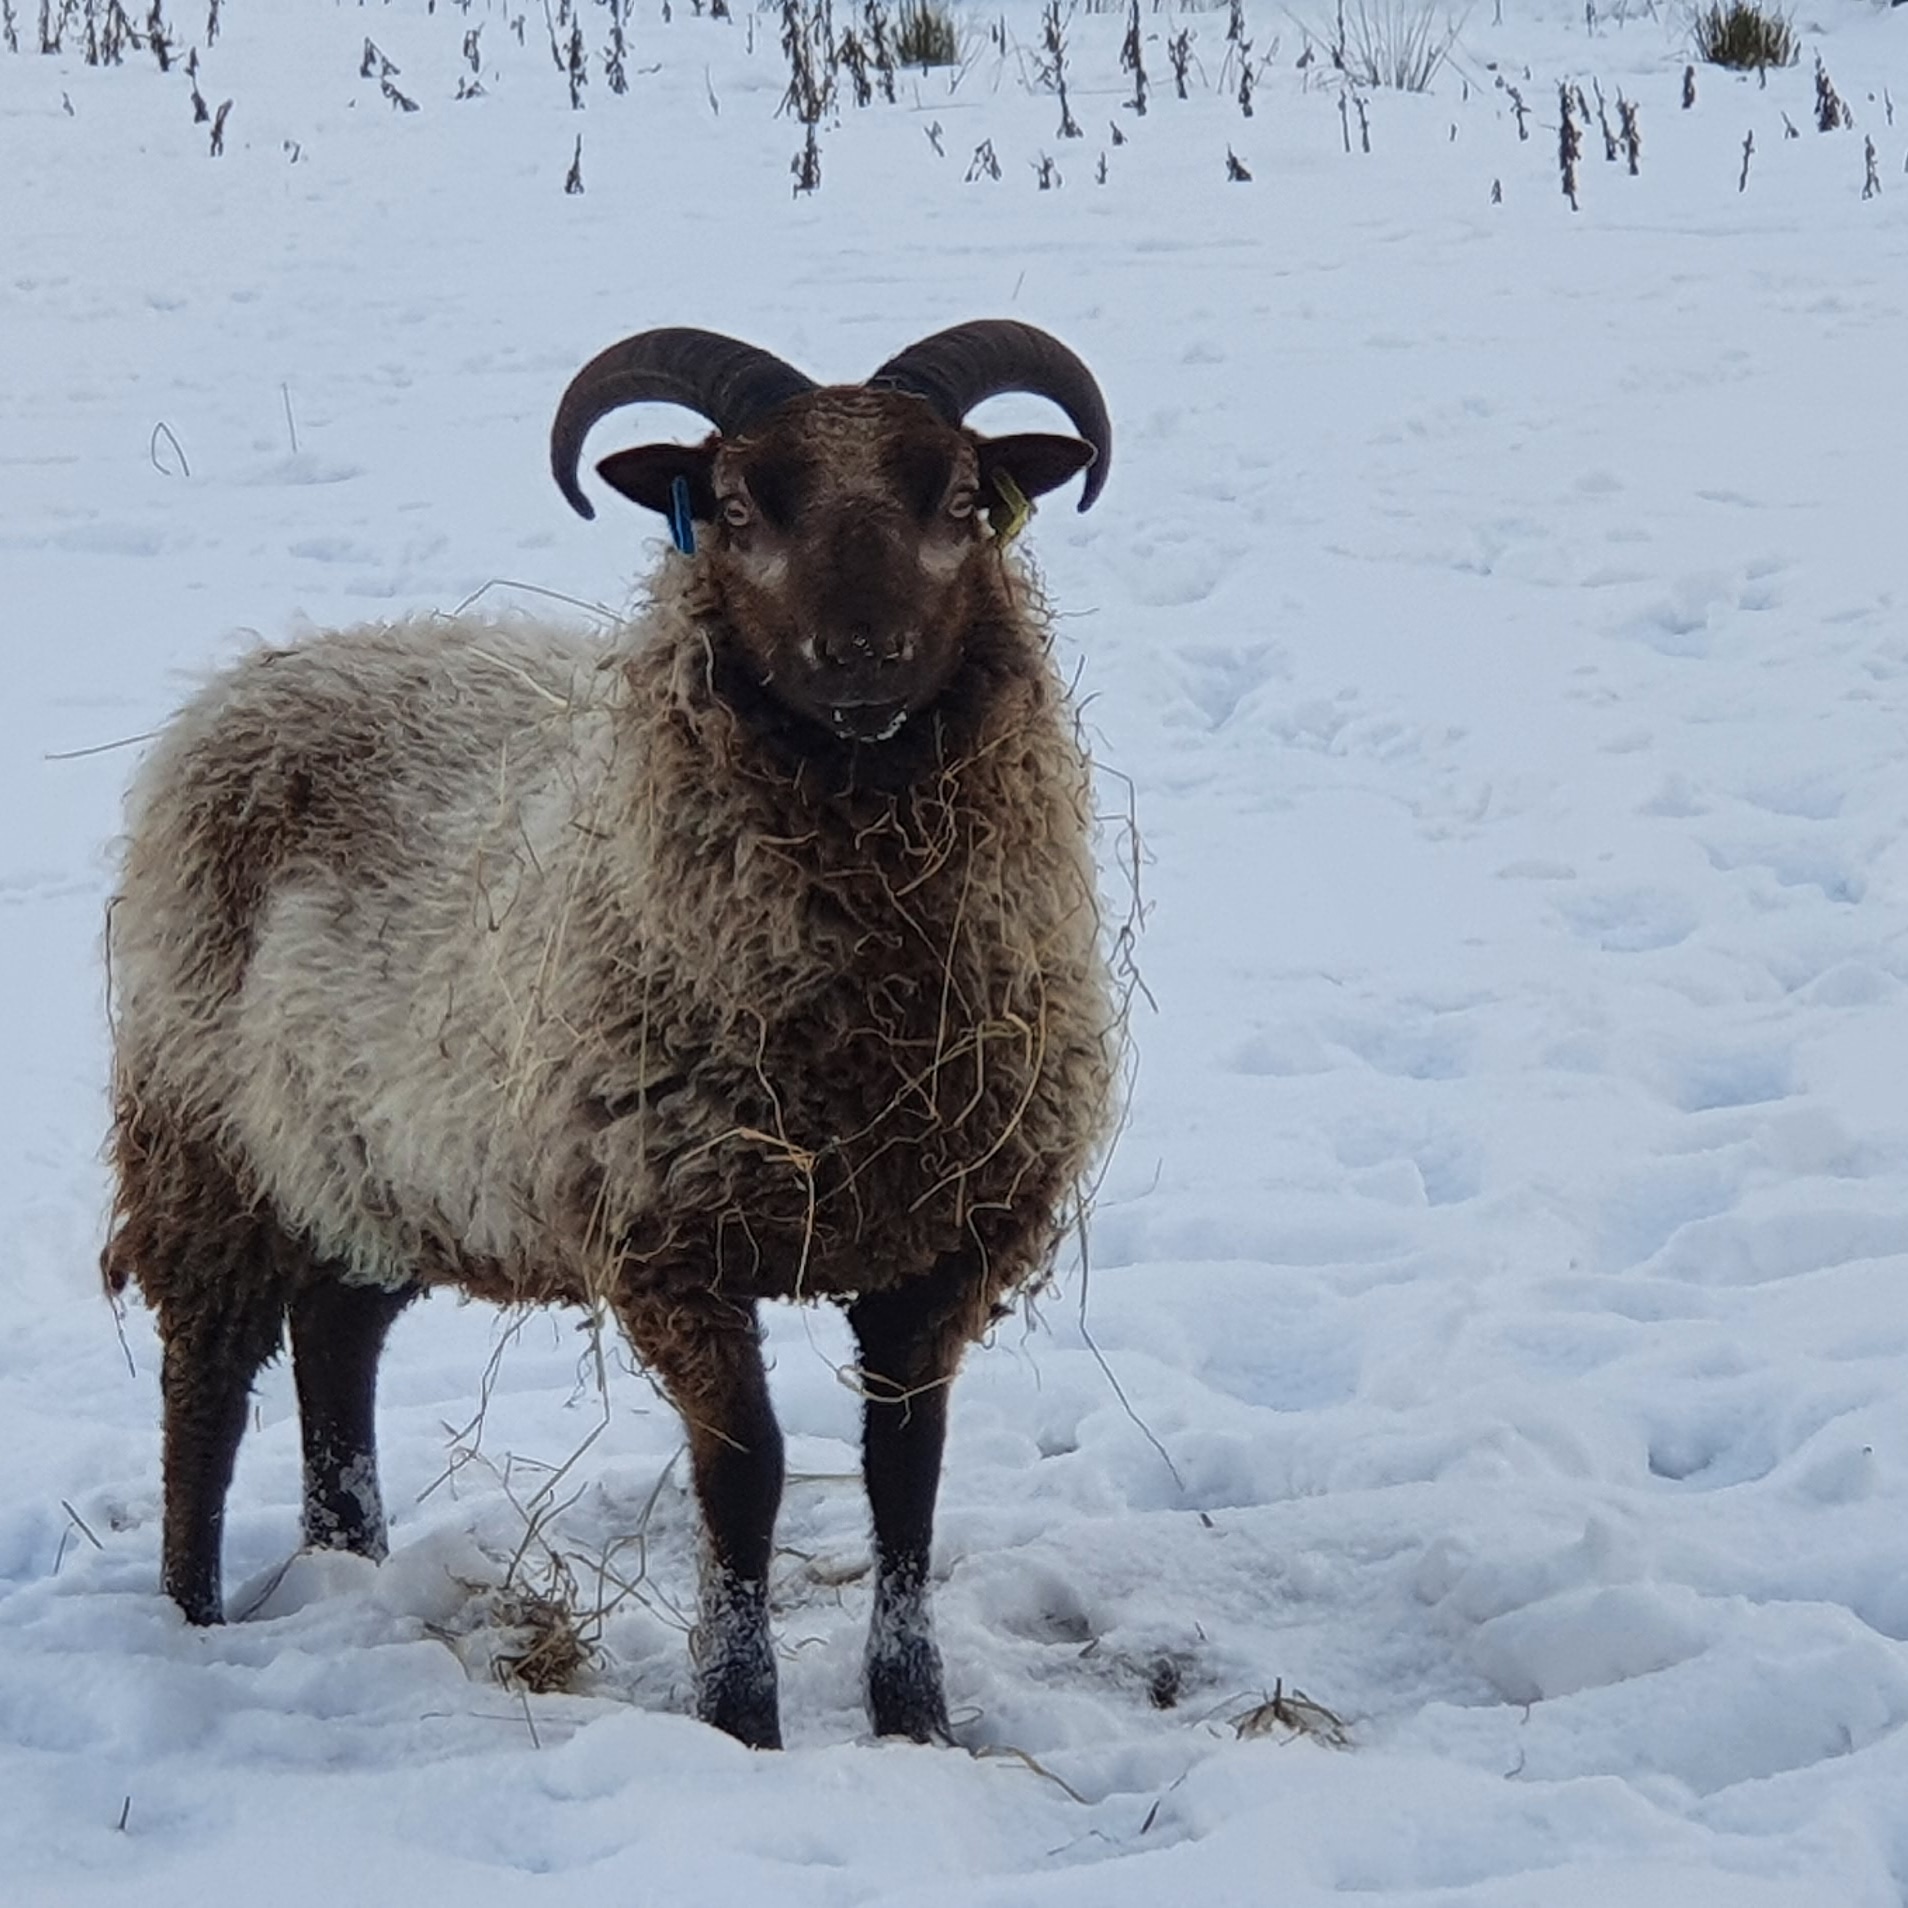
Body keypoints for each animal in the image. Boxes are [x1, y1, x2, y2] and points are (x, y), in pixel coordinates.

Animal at [102, 320, 1118, 1750]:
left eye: (965, 497)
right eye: (737, 507)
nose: (860, 658)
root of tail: (267, 664)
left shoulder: (942, 1243)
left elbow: (905, 1475)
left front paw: (914, 1715)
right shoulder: (672, 1241)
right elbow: (748, 1473)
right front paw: (741, 1716)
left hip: (371, 1158)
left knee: (339, 1338)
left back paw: (346, 1561)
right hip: (203, 1139)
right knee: (206, 1382)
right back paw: (192, 1619)